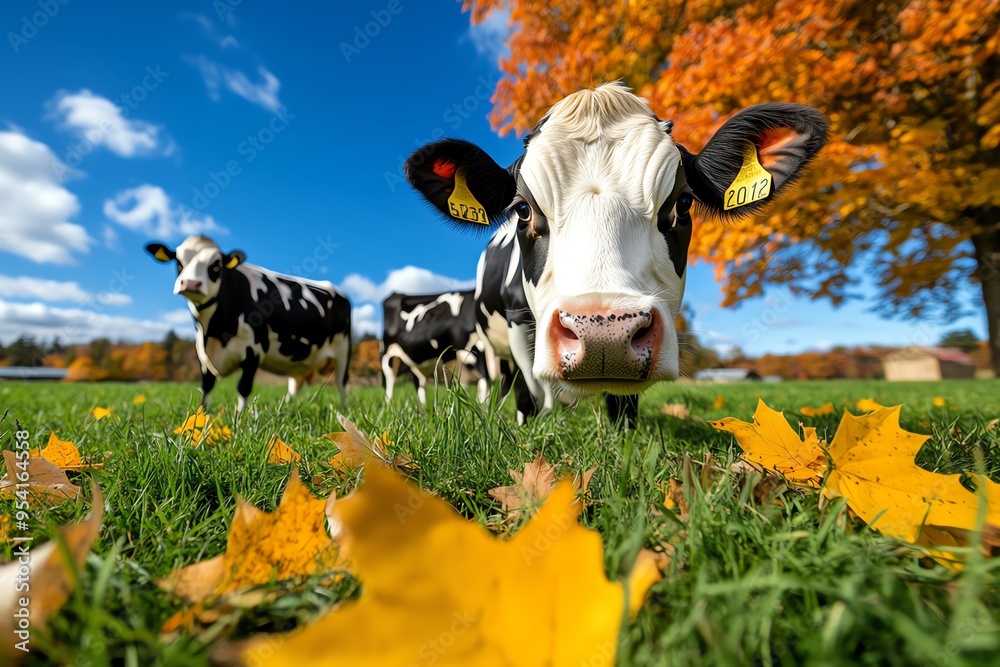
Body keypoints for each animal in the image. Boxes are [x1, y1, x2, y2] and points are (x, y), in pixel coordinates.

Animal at [145, 235, 352, 411]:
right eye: (179, 262)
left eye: (216, 265)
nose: (190, 283)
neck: (213, 332)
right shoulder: (202, 354)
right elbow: (206, 386)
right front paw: (201, 416)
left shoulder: (253, 349)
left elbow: (243, 388)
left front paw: (239, 420)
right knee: (295, 387)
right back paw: (286, 408)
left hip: (343, 350)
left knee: (342, 383)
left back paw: (343, 410)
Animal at [405, 84, 827, 426]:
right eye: (522, 209)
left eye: (683, 203)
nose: (602, 332)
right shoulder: (515, 323)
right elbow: (529, 392)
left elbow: (623, 409)